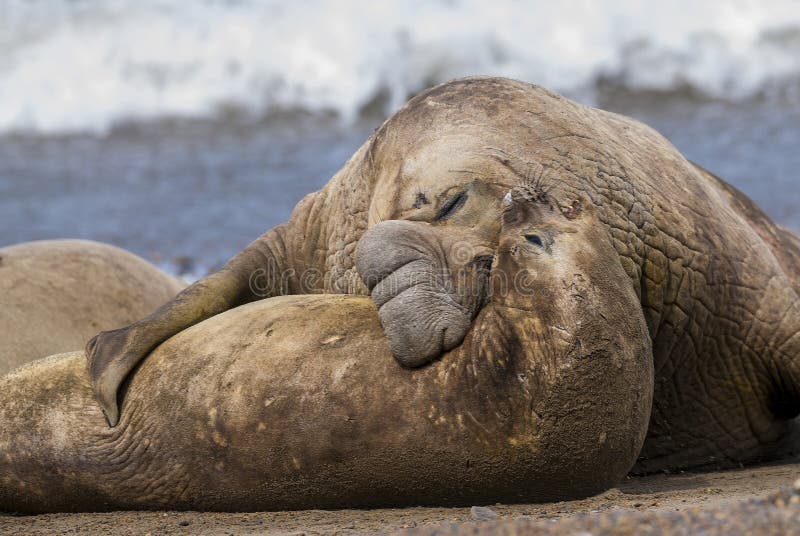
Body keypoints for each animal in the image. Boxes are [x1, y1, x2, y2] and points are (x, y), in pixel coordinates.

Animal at [84, 76, 800, 473]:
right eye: (365, 287)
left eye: (453, 202)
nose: (387, 257)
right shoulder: (302, 232)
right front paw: (107, 369)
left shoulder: (754, 284)